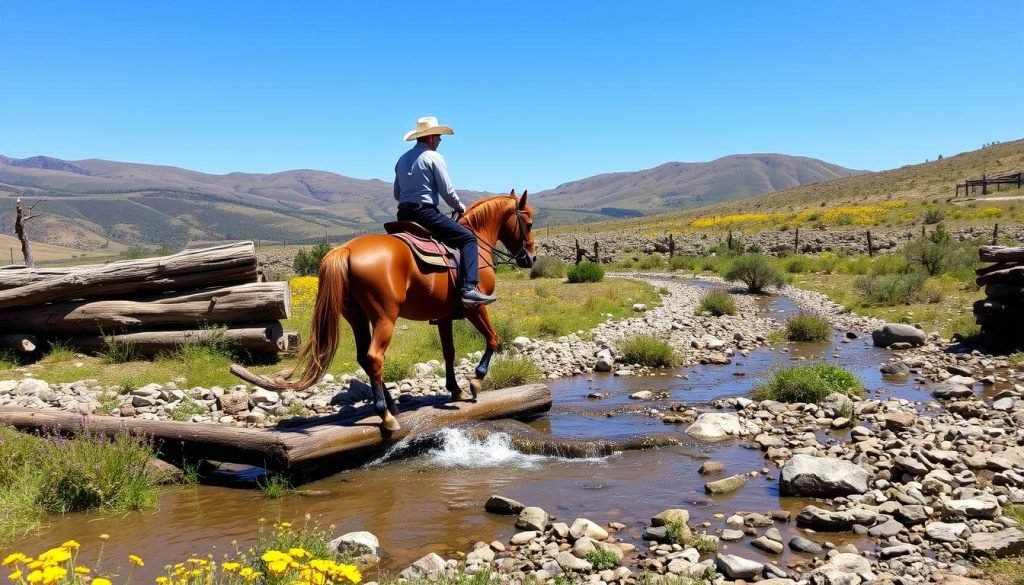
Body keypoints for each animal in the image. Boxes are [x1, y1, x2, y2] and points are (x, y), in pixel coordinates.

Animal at [231, 190, 537, 432]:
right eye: (530, 222)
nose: (530, 258)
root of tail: (345, 250)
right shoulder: (476, 308)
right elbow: (493, 340)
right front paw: (475, 382)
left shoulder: (443, 317)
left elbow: (449, 352)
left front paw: (456, 390)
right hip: (384, 318)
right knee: (374, 357)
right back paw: (386, 415)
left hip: (356, 316)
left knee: (364, 358)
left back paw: (390, 405)